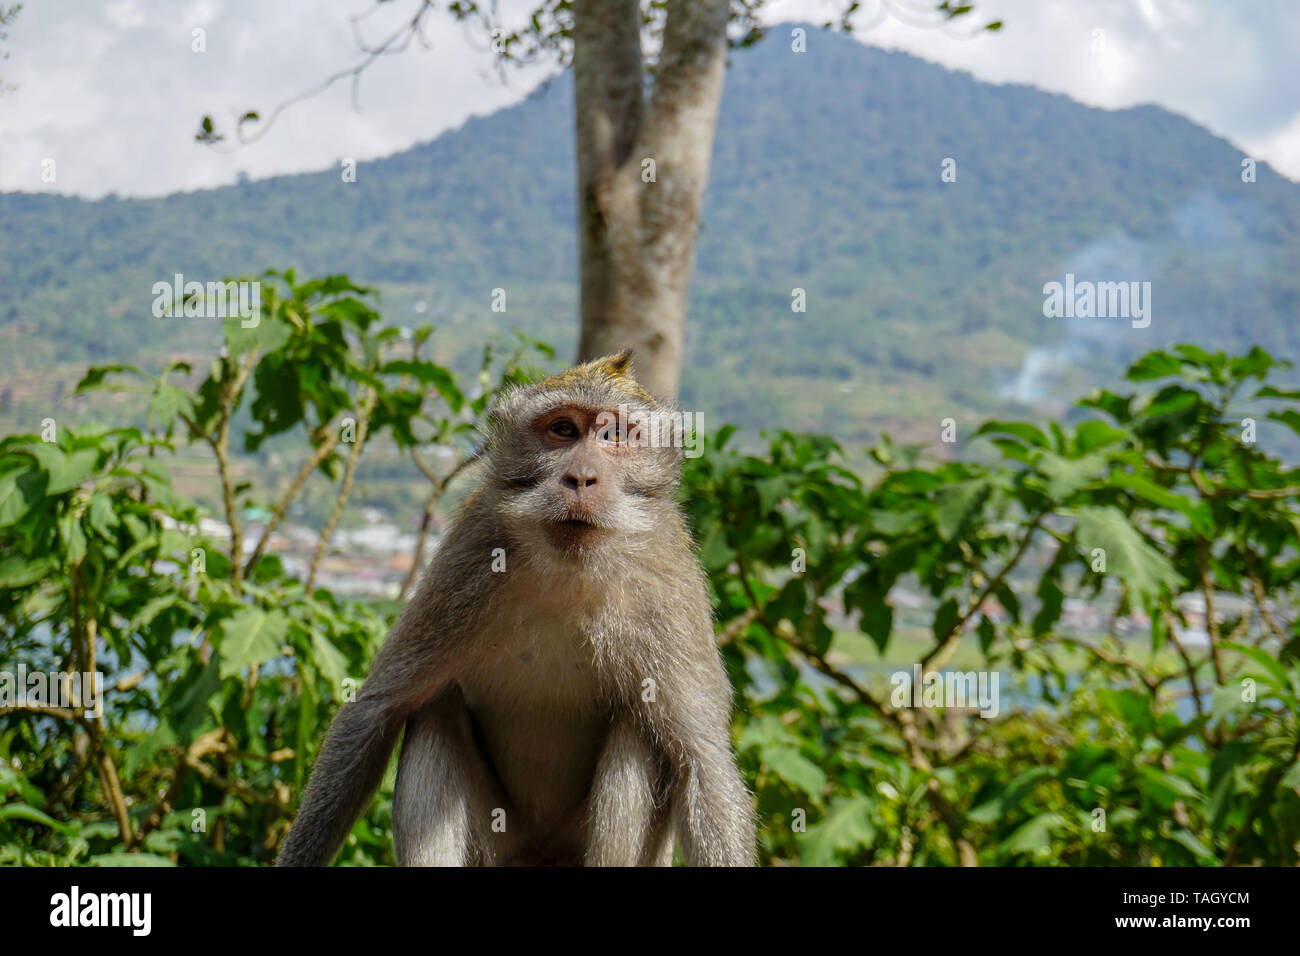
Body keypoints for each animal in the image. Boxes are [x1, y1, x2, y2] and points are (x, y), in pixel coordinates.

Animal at [276, 350, 755, 867]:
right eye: (563, 430)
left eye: (615, 436)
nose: (581, 477)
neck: (569, 570)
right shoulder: (470, 552)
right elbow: (376, 709)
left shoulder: (670, 586)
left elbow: (703, 765)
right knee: (434, 710)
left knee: (640, 728)